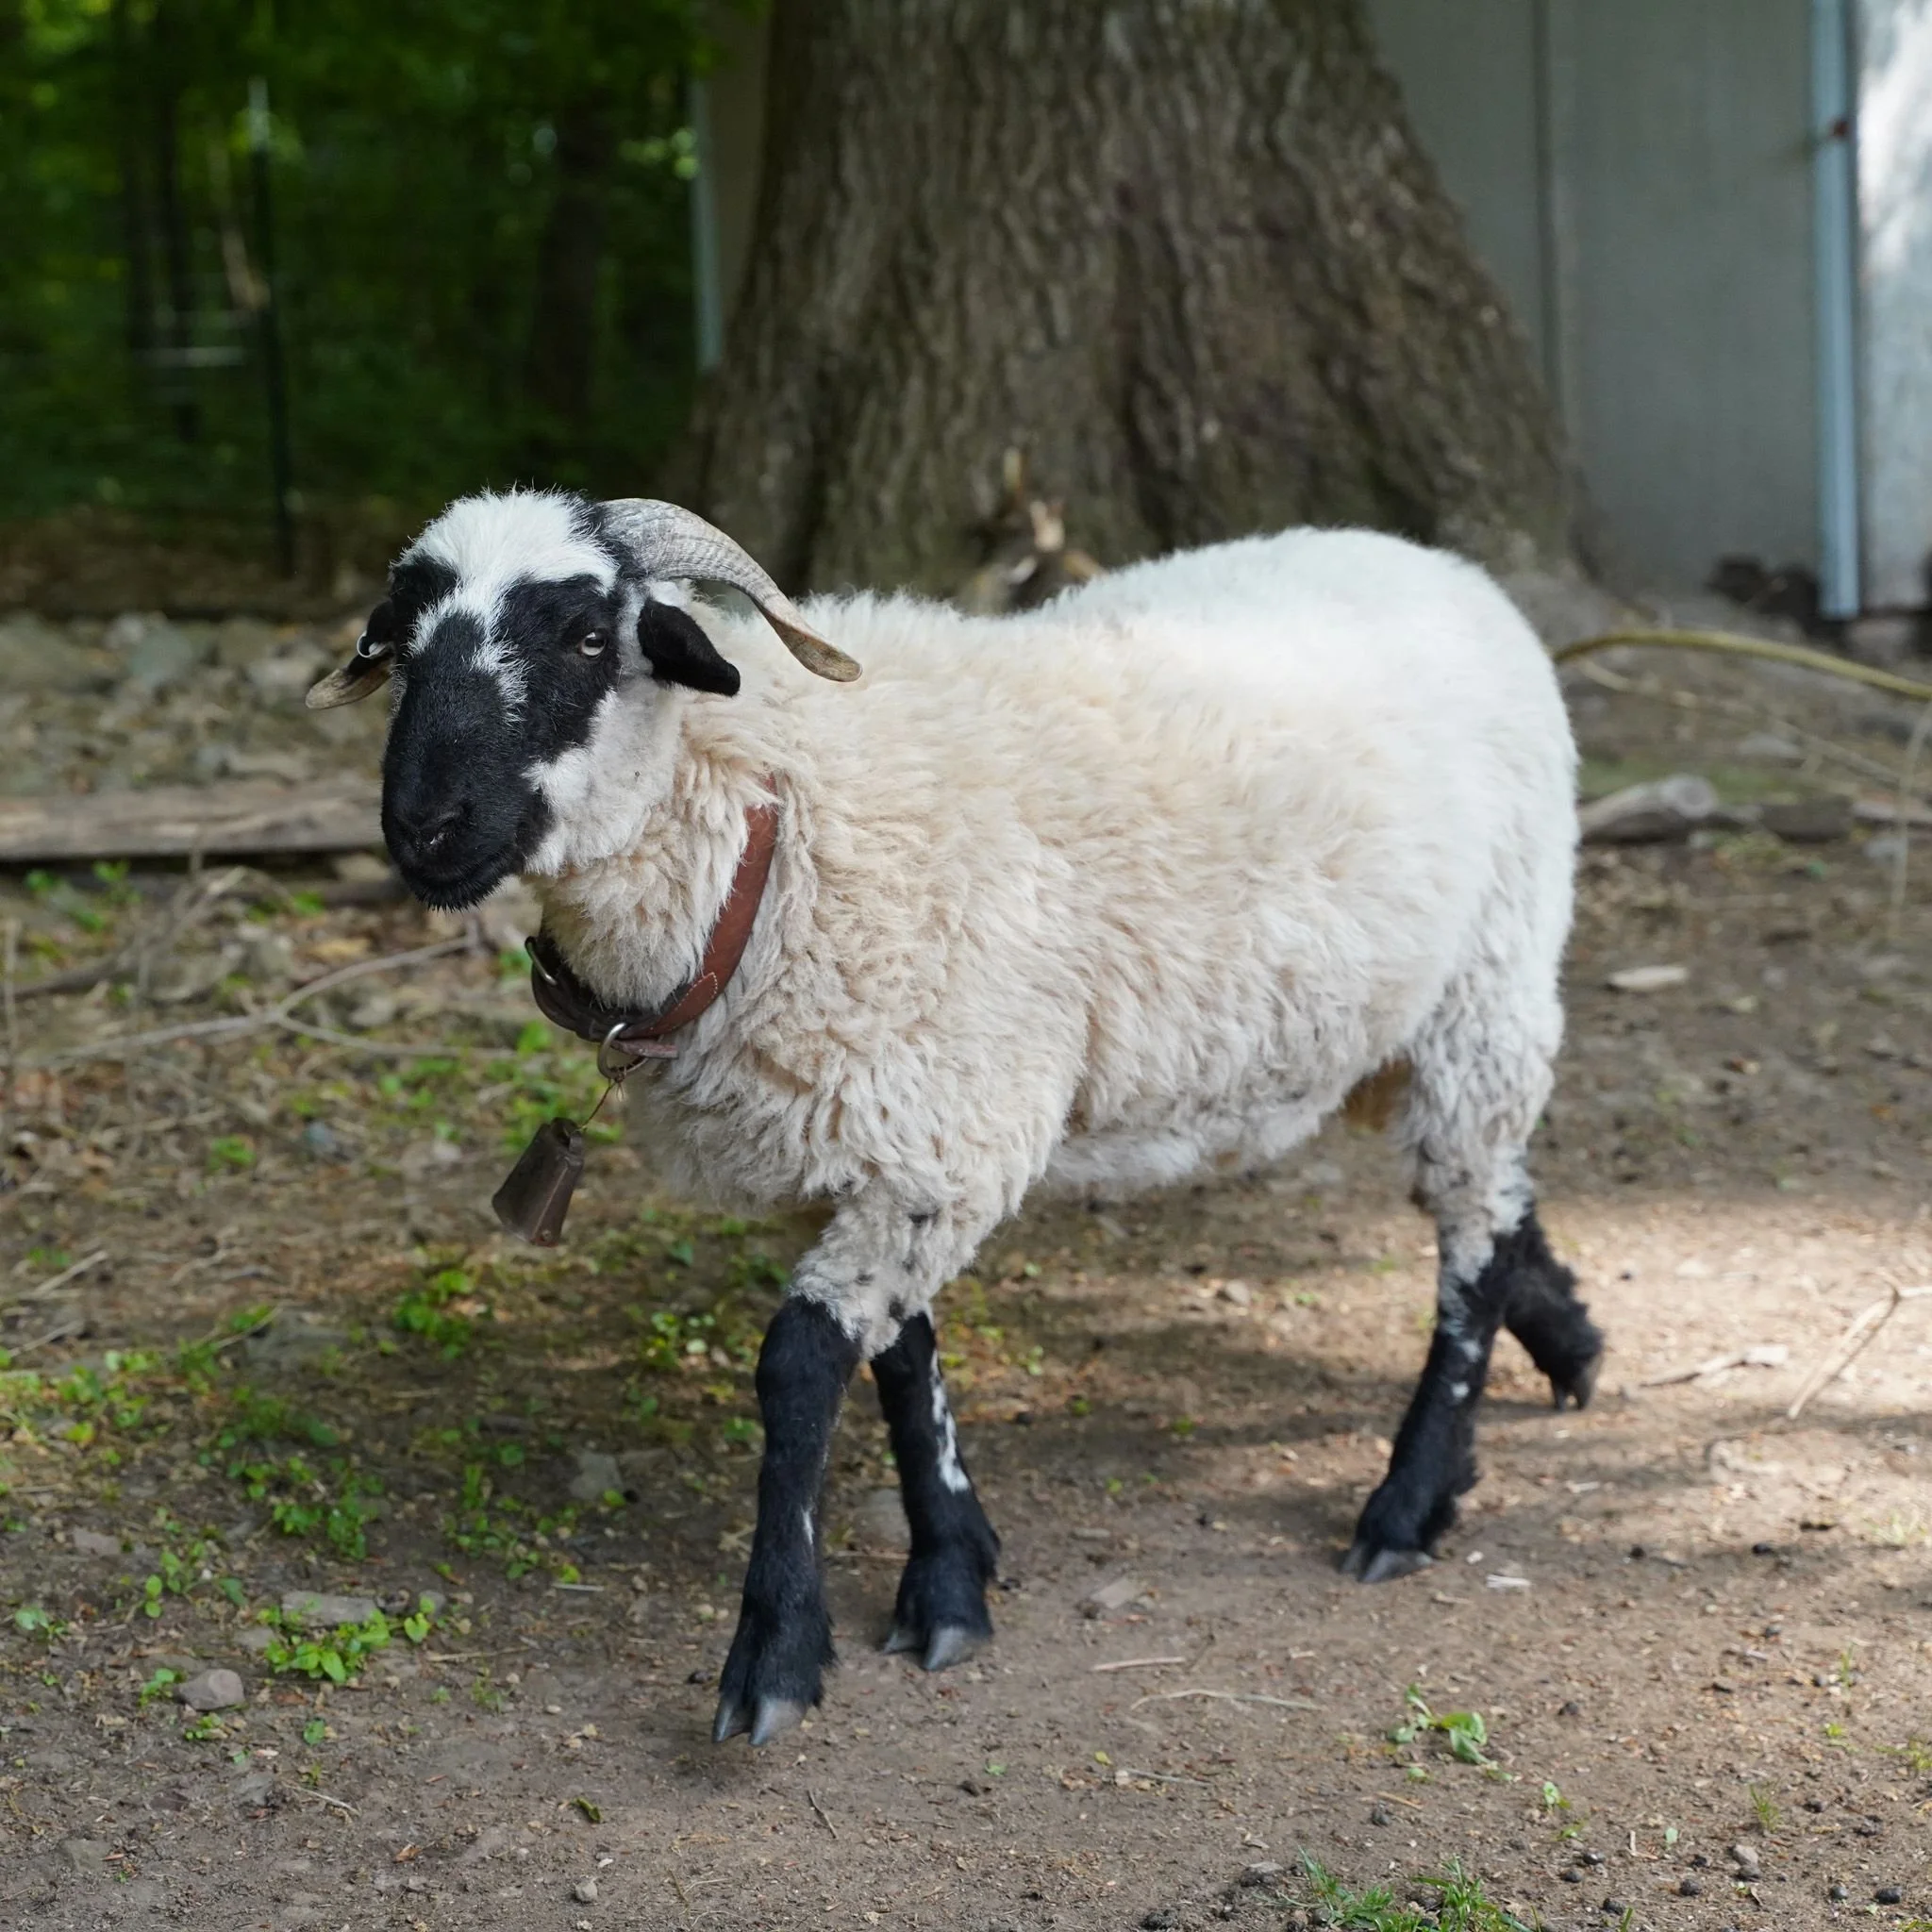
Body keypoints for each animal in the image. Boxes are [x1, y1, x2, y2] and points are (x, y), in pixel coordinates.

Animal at [308, 487, 1604, 1749]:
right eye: (401, 645)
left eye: (585, 635)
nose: (423, 828)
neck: (769, 821)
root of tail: (1441, 568)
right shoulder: (877, 1138)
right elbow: (902, 1359)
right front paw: (949, 1574)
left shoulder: (940, 1133)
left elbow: (800, 1368)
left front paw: (776, 1654)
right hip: (1400, 1024)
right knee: (1497, 1193)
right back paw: (1565, 1348)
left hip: (1485, 981)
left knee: (1472, 1232)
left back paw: (1404, 1502)